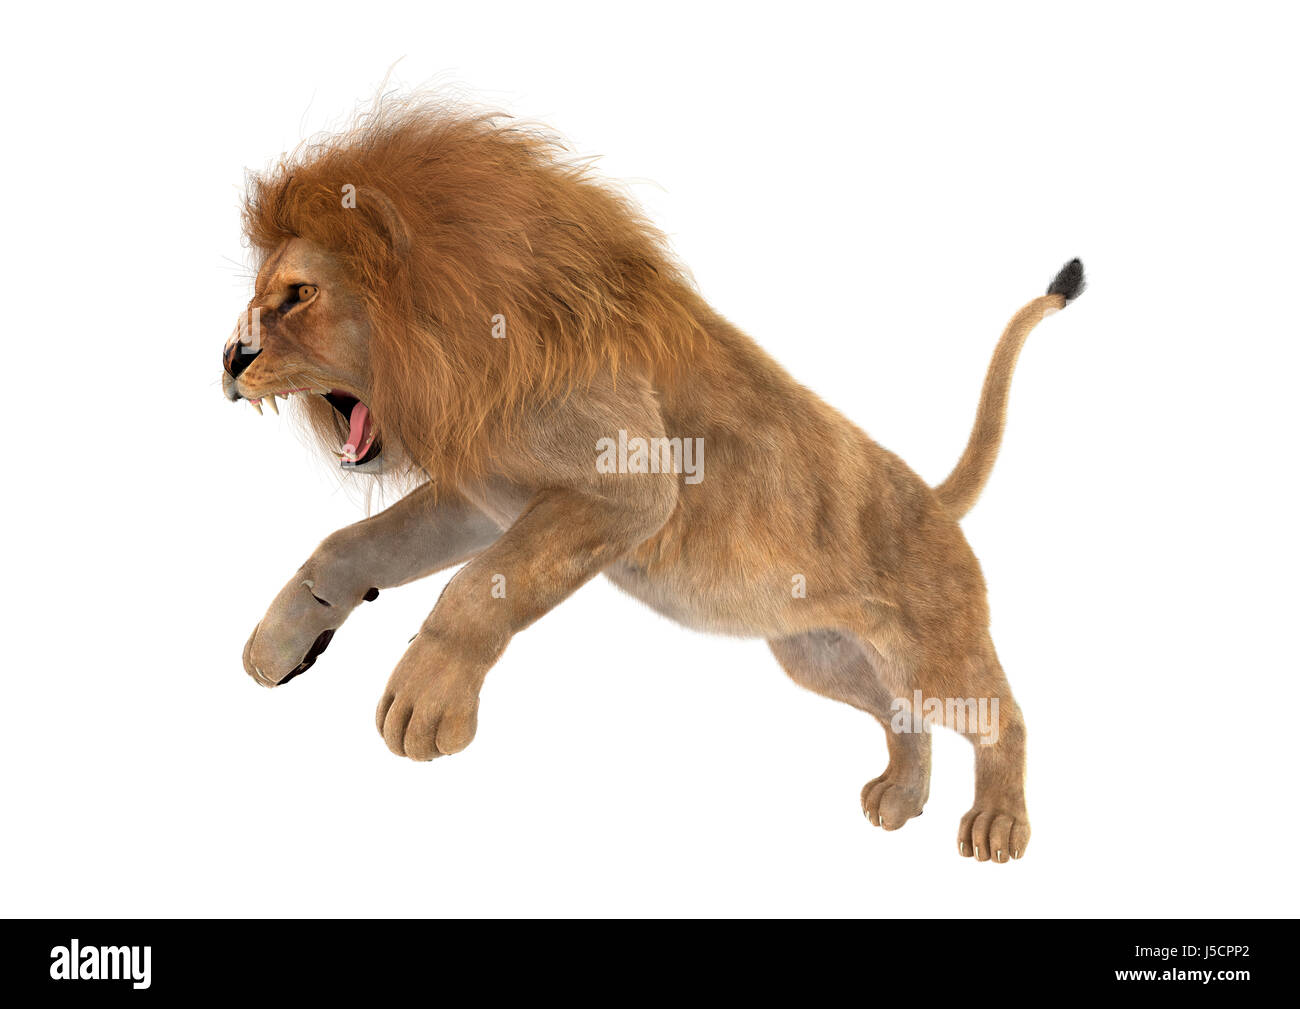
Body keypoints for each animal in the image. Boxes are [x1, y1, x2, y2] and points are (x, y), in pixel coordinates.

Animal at [222, 95, 1084, 862]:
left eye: (299, 294)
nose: (229, 358)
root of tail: (934, 502)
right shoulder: (487, 497)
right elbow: (352, 546)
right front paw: (280, 641)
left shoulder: (633, 484)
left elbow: (478, 587)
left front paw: (424, 701)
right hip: (822, 654)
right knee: (905, 714)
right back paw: (901, 798)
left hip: (932, 651)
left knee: (1002, 715)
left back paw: (999, 826)